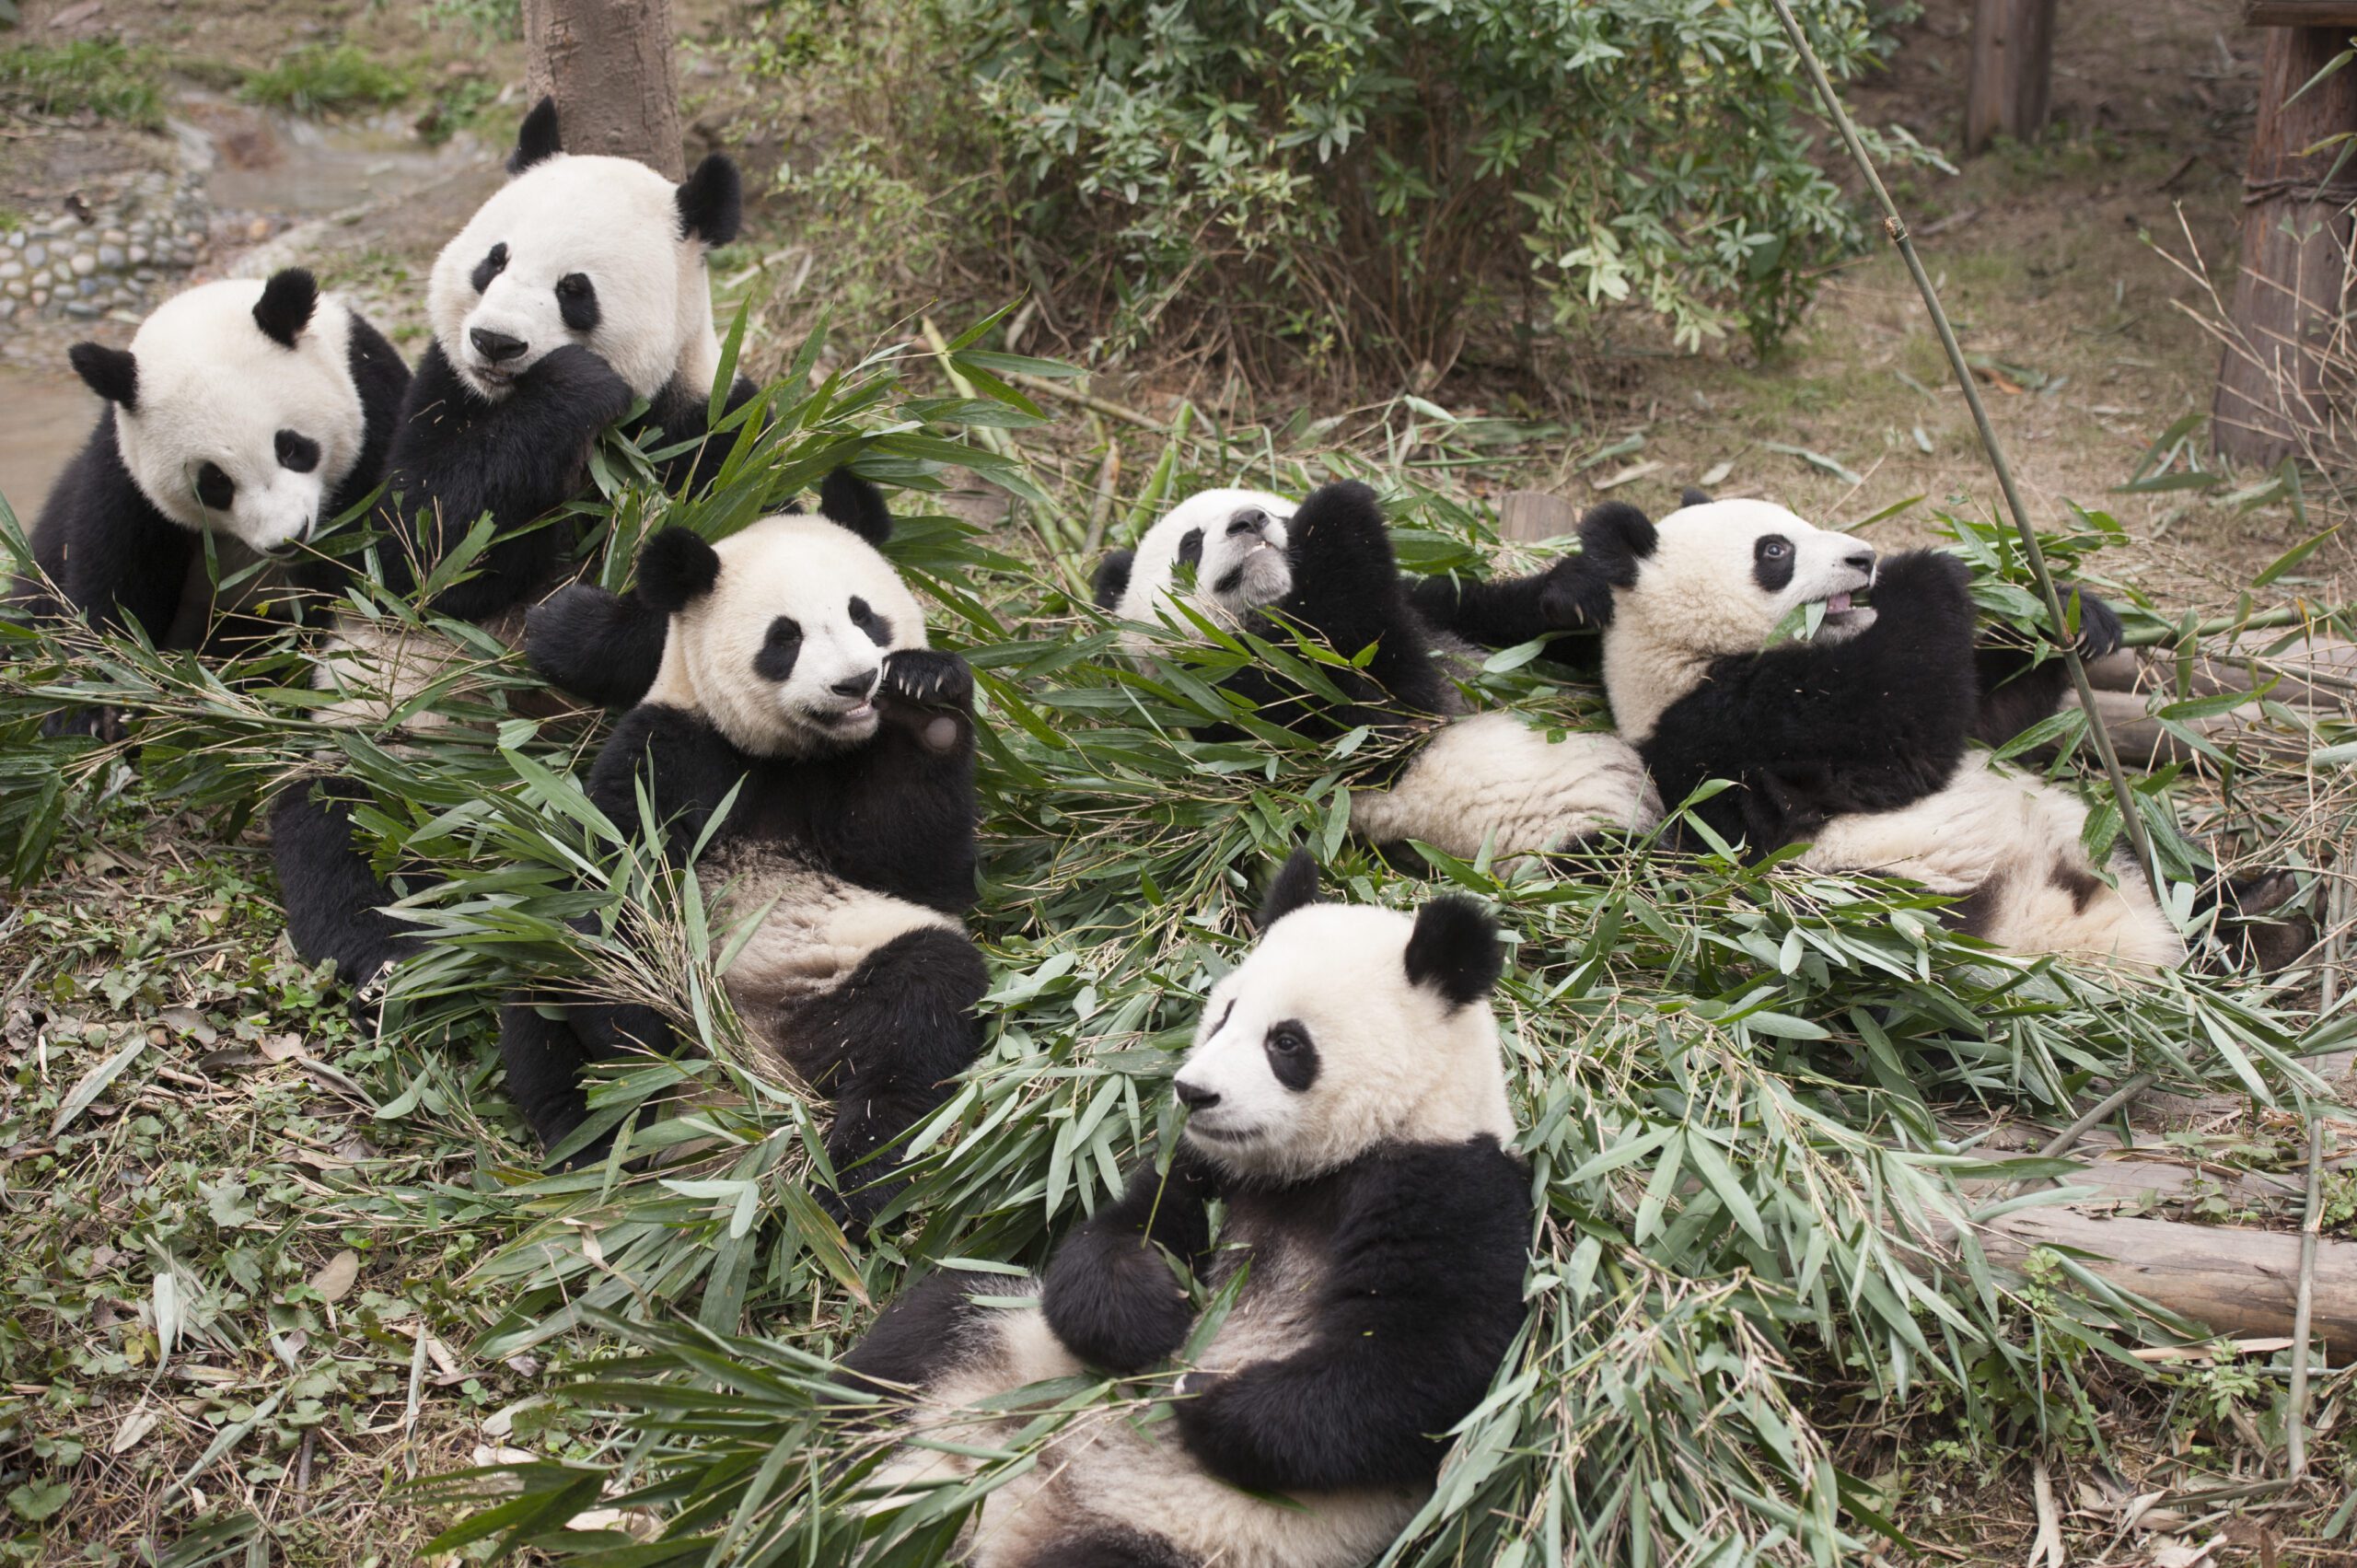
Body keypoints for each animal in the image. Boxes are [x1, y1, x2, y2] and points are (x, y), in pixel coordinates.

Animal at [21, 268, 409, 651]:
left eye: (290, 448)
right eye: (215, 481)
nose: (289, 538)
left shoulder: (374, 410)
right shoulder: (123, 476)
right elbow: (112, 580)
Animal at [497, 479, 984, 1220]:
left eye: (865, 616)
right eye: (785, 637)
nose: (856, 683)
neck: (792, 755)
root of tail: (757, 1069)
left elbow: (924, 863)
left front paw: (926, 700)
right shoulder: (674, 744)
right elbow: (615, 876)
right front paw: (638, 1024)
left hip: (857, 960)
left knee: (919, 1014)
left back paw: (849, 1177)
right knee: (545, 995)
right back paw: (600, 1136)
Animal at [838, 851, 1531, 1568]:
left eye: (1286, 1042)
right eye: (1224, 1015)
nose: (1194, 1092)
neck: (1323, 1166)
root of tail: (994, 1507)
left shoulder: (1451, 1186)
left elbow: (1422, 1368)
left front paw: (1203, 1400)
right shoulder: (1205, 1168)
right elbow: (1115, 1239)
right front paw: (1152, 1318)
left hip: (1178, 1541)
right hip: (1003, 1341)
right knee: (916, 1337)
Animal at [1092, 480, 1660, 863]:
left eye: (1276, 514)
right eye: (1190, 544)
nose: (1250, 520)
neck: (1275, 616)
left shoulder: (1436, 615)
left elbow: (1489, 615)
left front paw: (1574, 595)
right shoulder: (1234, 709)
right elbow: (1380, 722)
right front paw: (1337, 505)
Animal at [1570, 495, 2184, 968]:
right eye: (1776, 549)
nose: (1864, 557)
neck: (1681, 658)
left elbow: (1991, 718)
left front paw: (2075, 617)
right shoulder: (1733, 728)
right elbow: (1898, 737)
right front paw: (1928, 568)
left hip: (2101, 833)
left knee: (2179, 870)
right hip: (1900, 906)